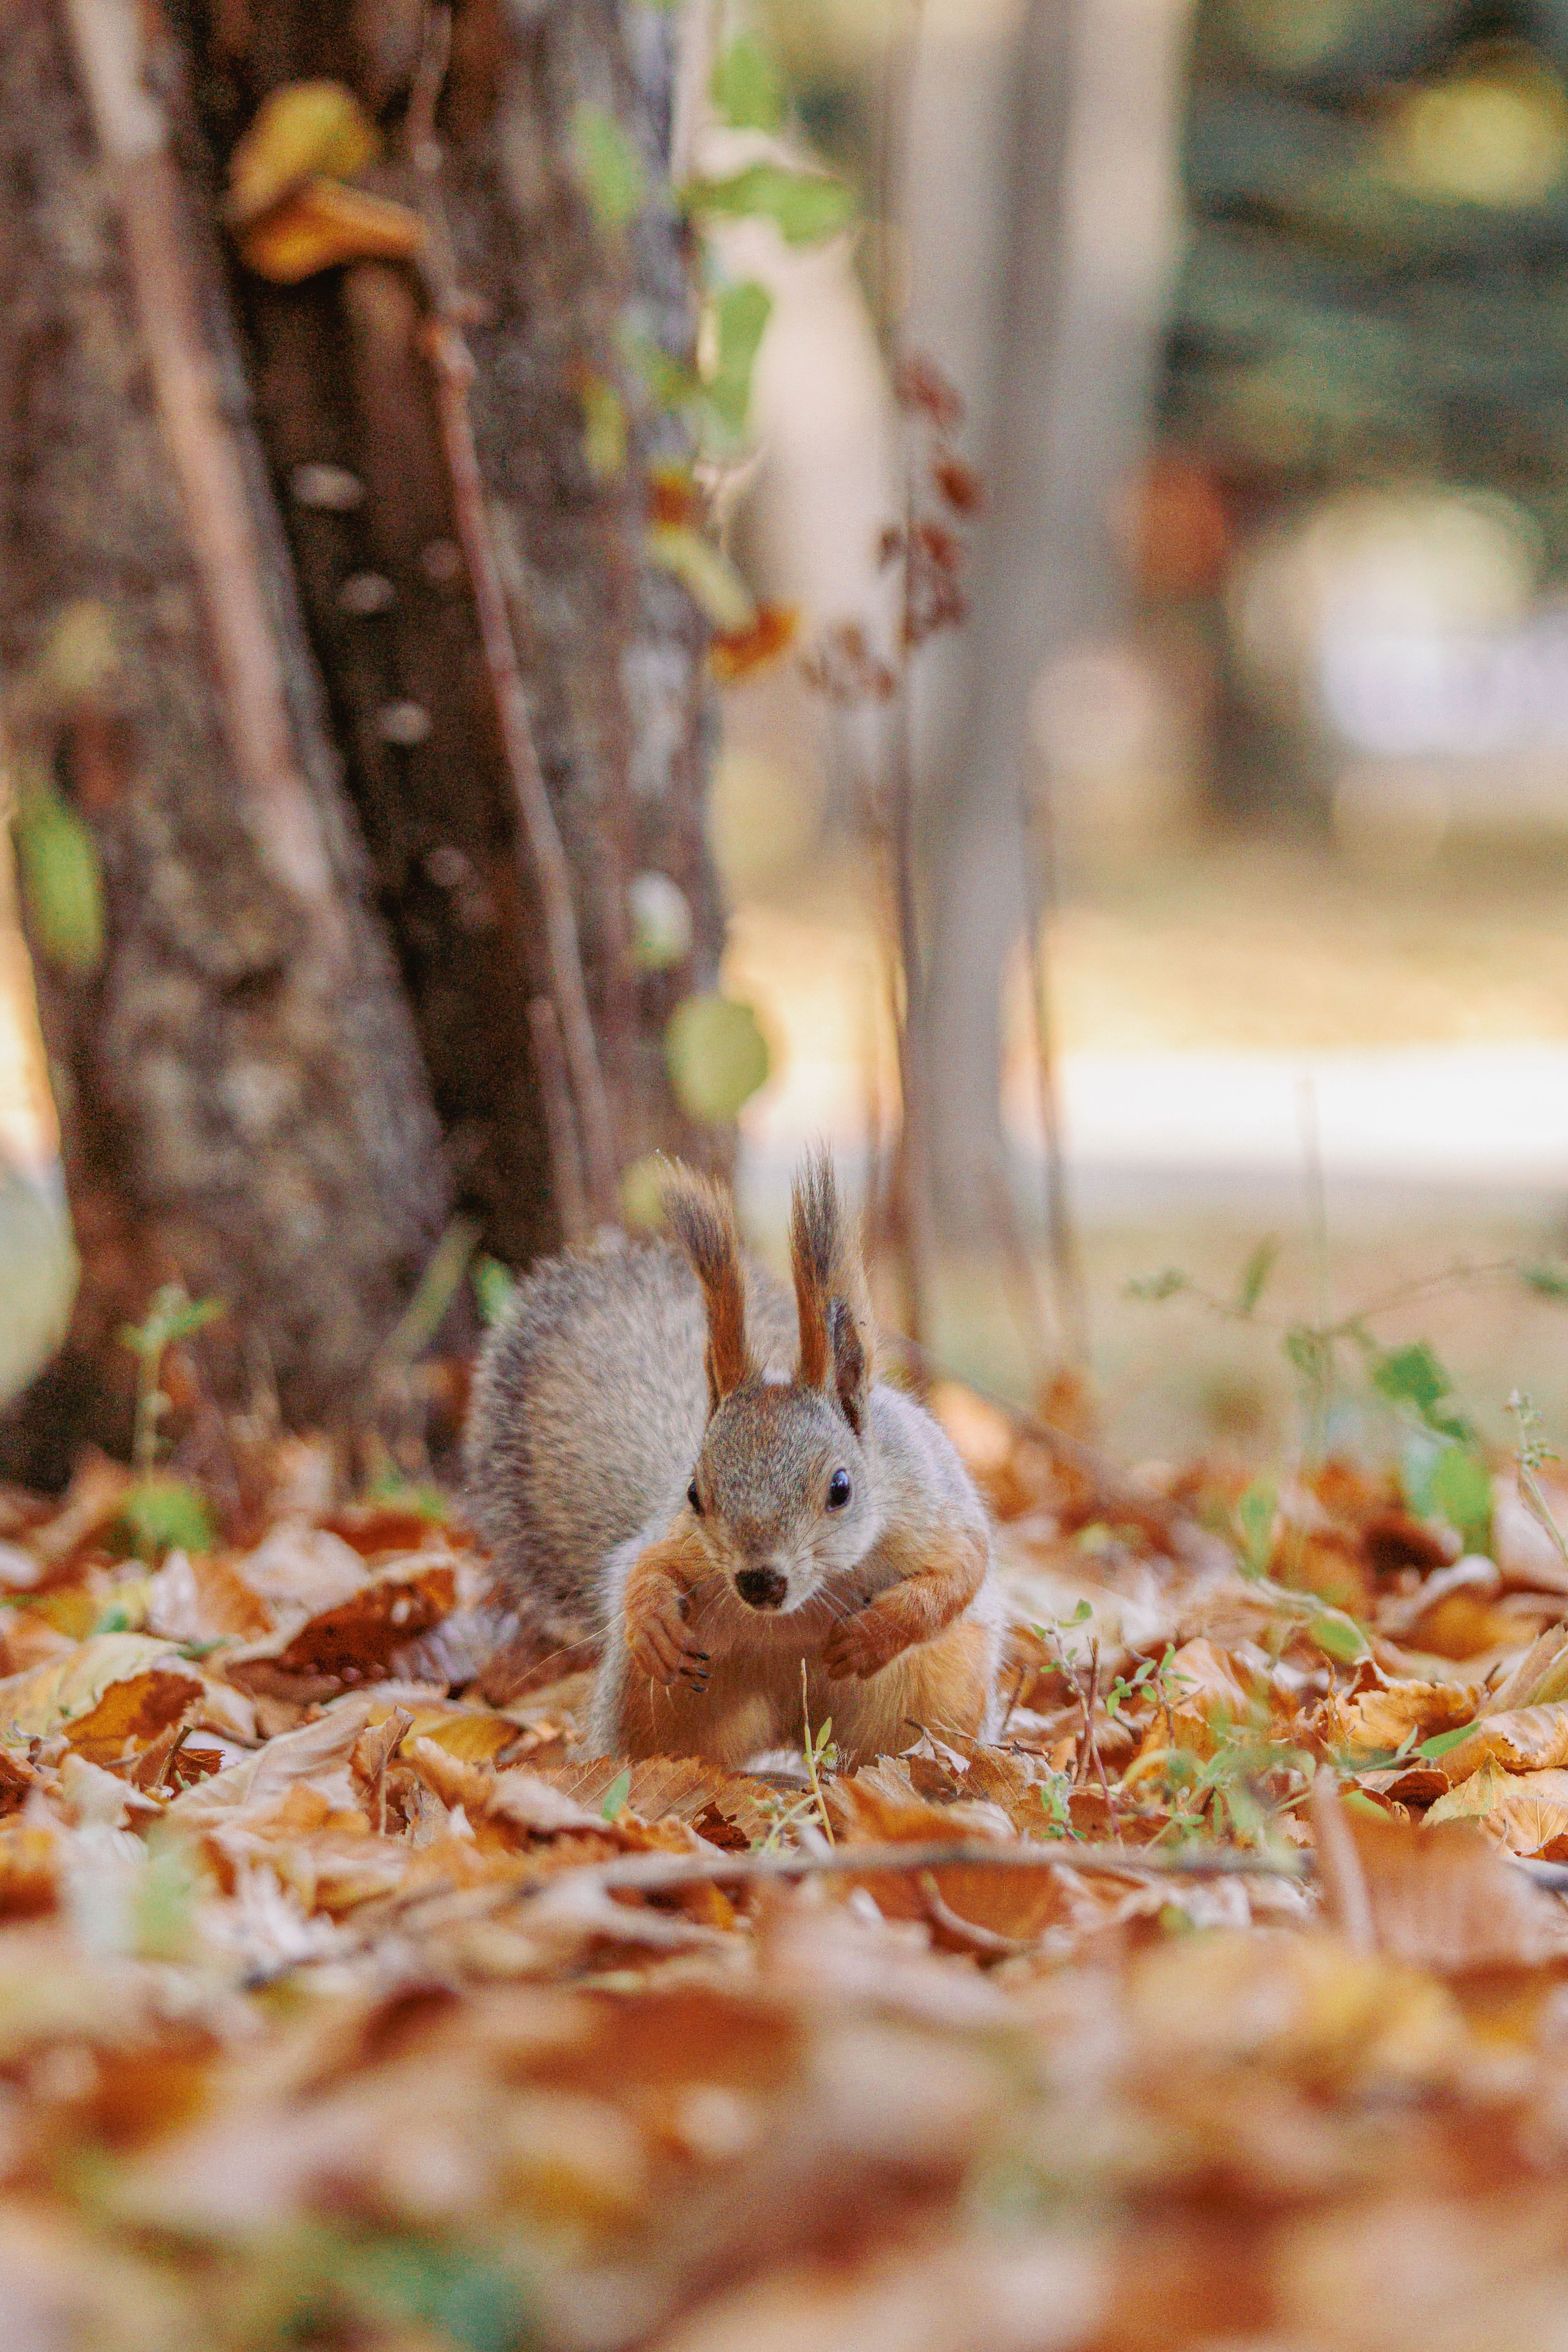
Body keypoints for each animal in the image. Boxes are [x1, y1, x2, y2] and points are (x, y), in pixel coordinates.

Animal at [464, 1147, 1003, 1768]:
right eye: (694, 1492)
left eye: (841, 1488)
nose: (758, 1582)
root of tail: (792, 1730)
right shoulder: (681, 1539)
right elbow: (648, 1566)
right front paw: (652, 1621)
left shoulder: (931, 1504)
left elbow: (959, 1574)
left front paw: (873, 1634)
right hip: (657, 1709)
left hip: (940, 1689)